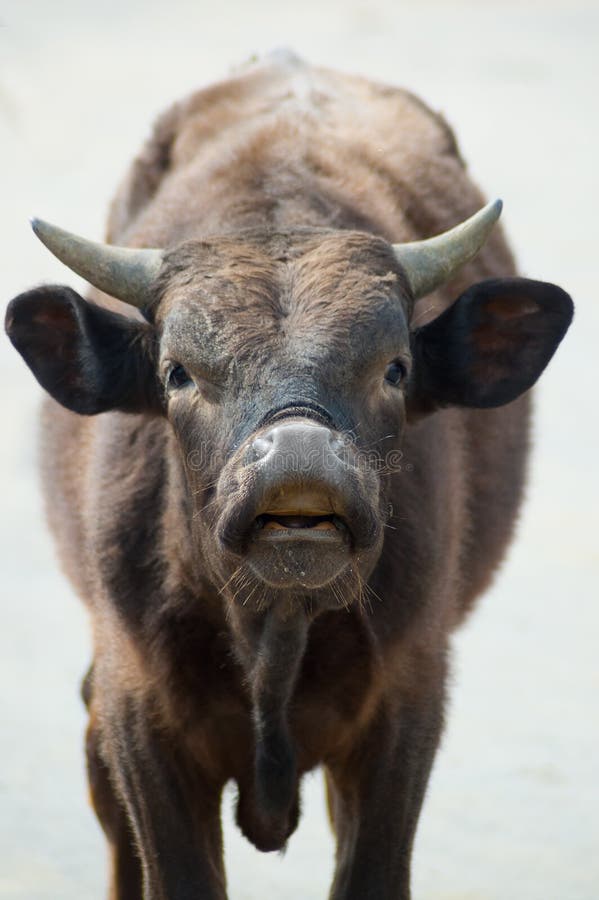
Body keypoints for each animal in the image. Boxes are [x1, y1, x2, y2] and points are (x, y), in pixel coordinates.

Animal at [5, 53, 573, 900]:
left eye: (395, 368)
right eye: (177, 372)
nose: (298, 469)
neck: (273, 625)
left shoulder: (406, 707)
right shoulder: (140, 709)